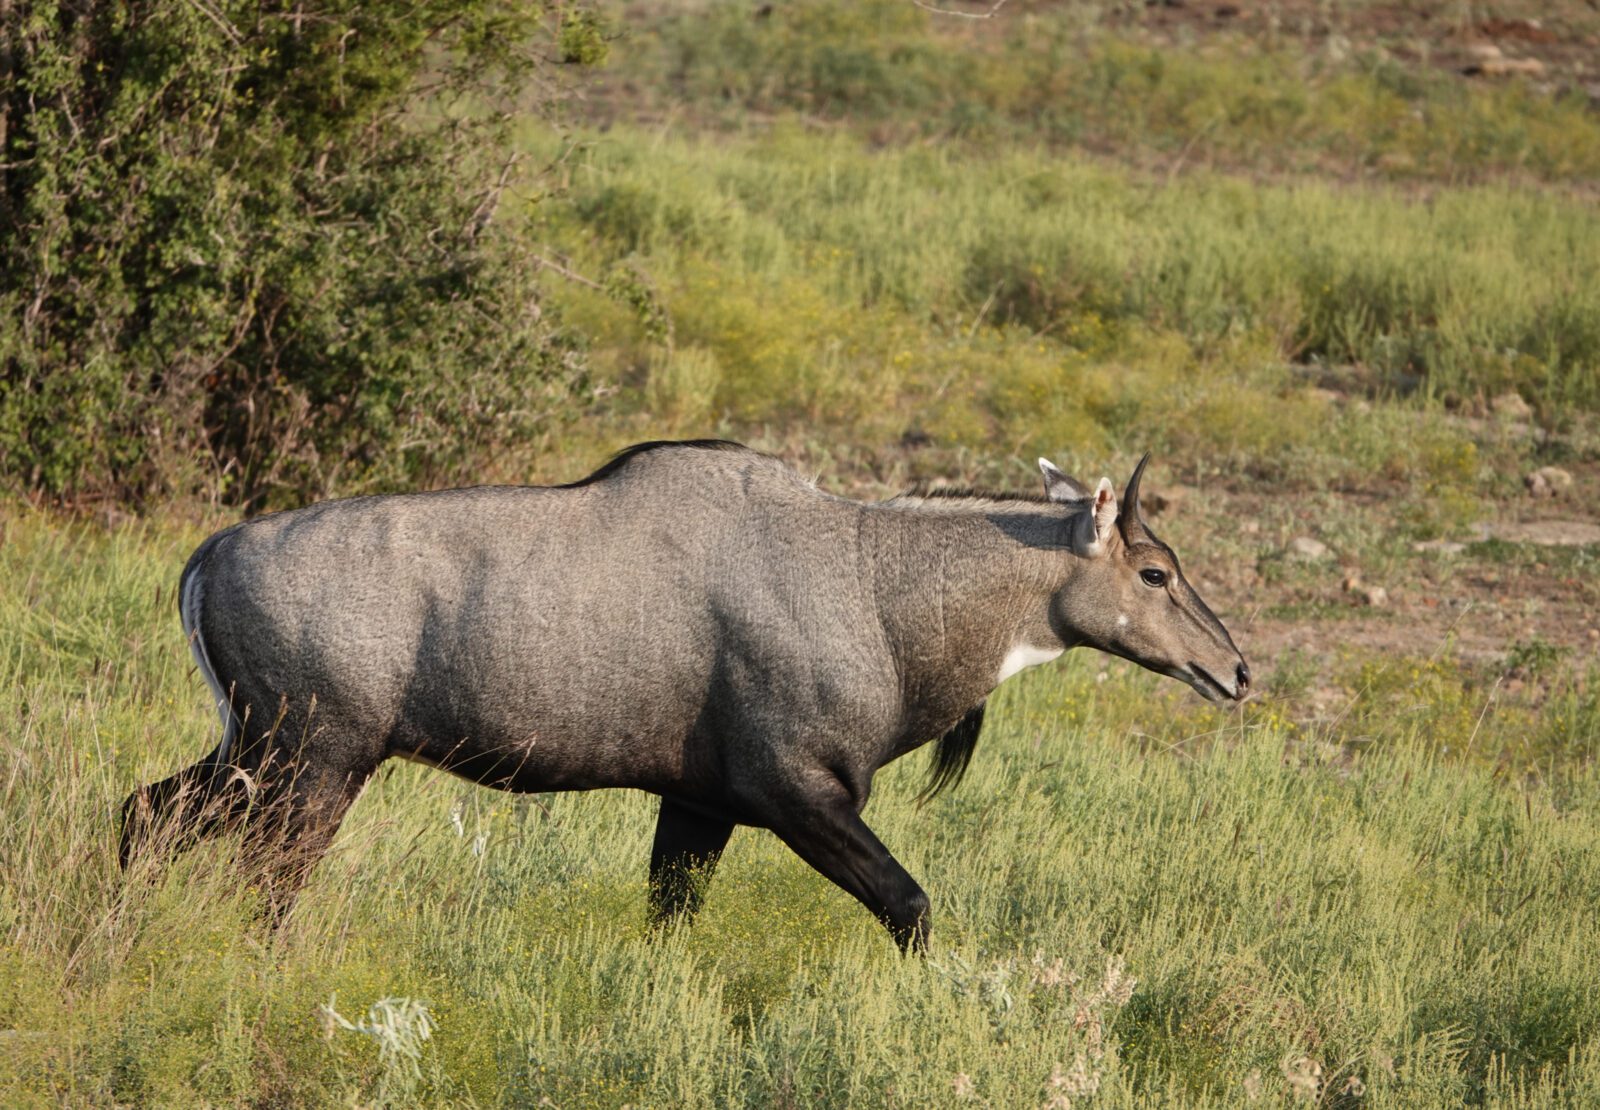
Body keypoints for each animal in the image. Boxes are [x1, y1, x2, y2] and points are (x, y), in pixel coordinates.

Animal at [121, 440, 1247, 950]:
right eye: (1155, 572)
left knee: (141, 812)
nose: (1237, 669)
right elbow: (911, 905)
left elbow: (668, 924)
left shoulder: (698, 803)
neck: (874, 589)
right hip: (315, 761)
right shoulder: (794, 791)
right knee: (264, 887)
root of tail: (210, 556)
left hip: (254, 752)